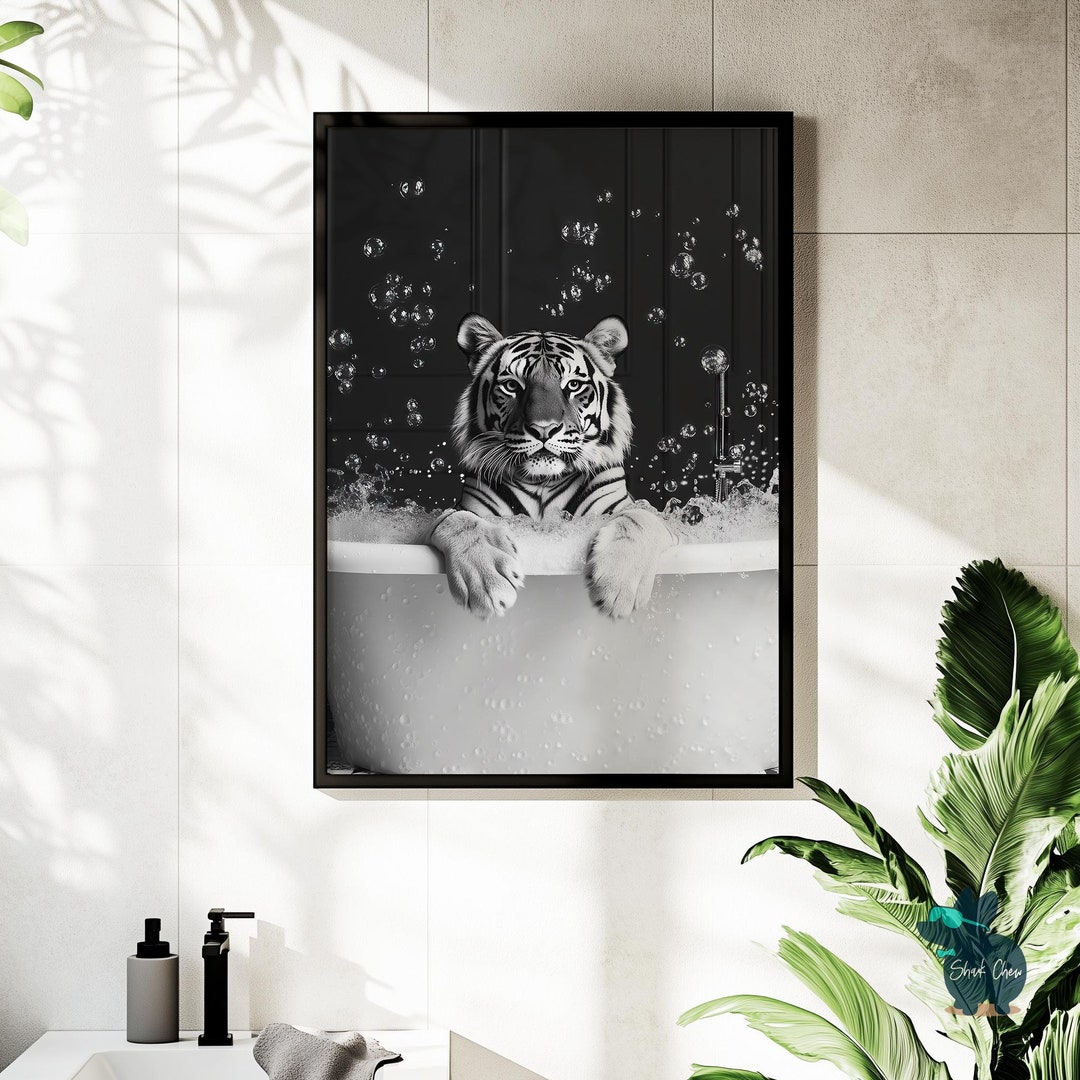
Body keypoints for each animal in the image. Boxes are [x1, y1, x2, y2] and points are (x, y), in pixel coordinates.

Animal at [427, 312, 676, 619]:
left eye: (573, 385)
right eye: (512, 386)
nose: (544, 429)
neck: (542, 482)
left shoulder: (640, 512)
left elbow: (640, 519)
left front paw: (617, 587)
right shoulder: (461, 511)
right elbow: (458, 521)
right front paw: (487, 582)